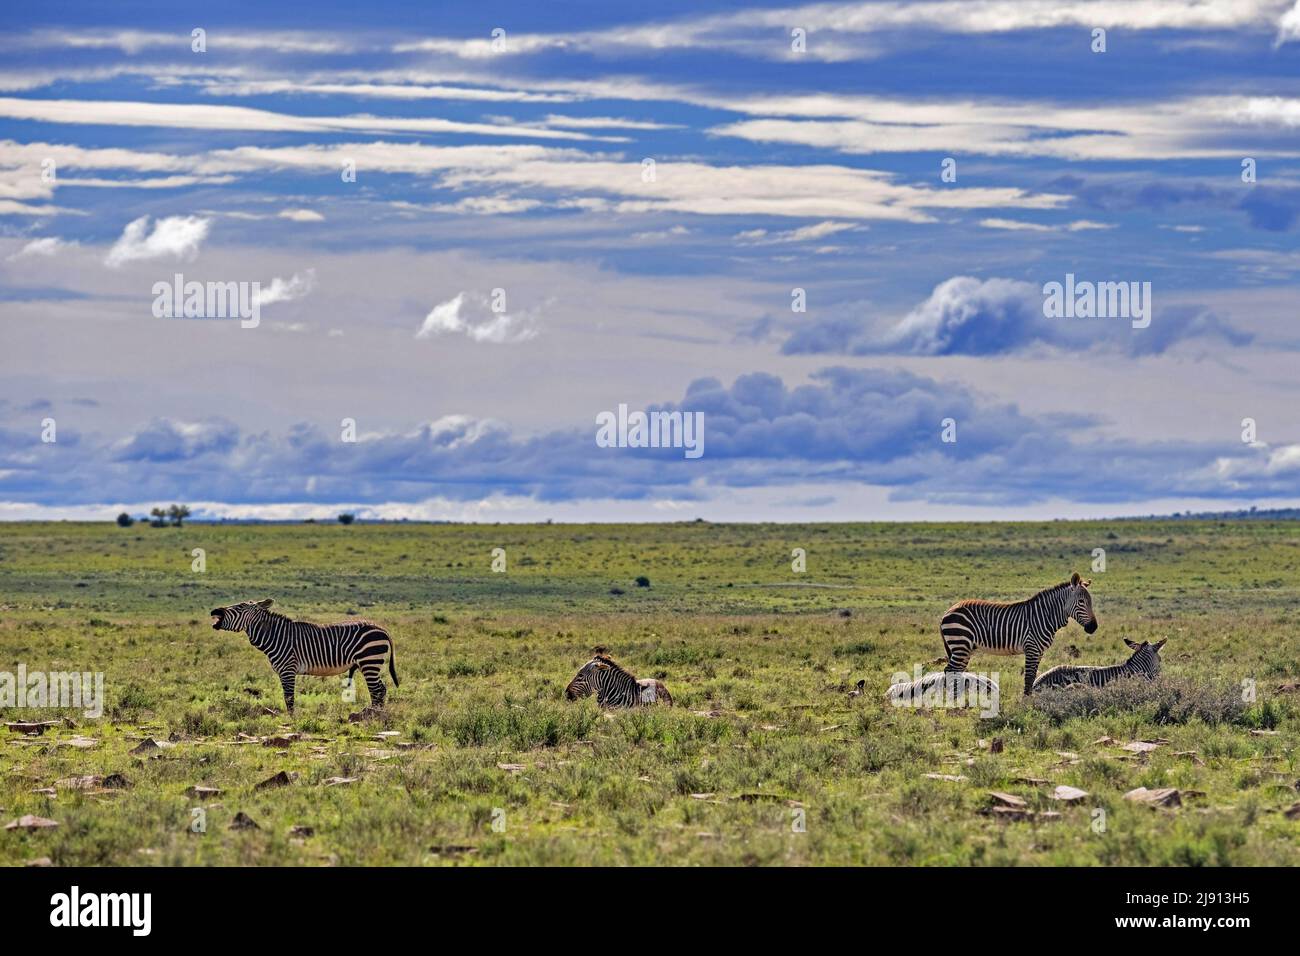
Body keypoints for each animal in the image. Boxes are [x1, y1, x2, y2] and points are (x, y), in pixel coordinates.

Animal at [211, 599, 398, 714]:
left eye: (239, 607)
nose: (214, 610)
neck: (276, 636)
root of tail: (382, 629)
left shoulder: (287, 669)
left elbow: (289, 697)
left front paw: (291, 720)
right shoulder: (284, 671)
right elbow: (288, 696)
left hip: (369, 661)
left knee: (377, 690)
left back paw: (374, 716)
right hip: (370, 663)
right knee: (380, 689)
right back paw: (377, 715)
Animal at [940, 572, 1098, 696]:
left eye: (1090, 601)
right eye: (1081, 601)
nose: (1093, 627)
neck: (1044, 616)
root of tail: (949, 610)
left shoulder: (1039, 651)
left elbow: (1033, 676)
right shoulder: (1032, 649)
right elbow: (1028, 678)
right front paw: (1026, 705)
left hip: (964, 649)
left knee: (955, 671)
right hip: (960, 644)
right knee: (950, 670)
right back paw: (955, 702)